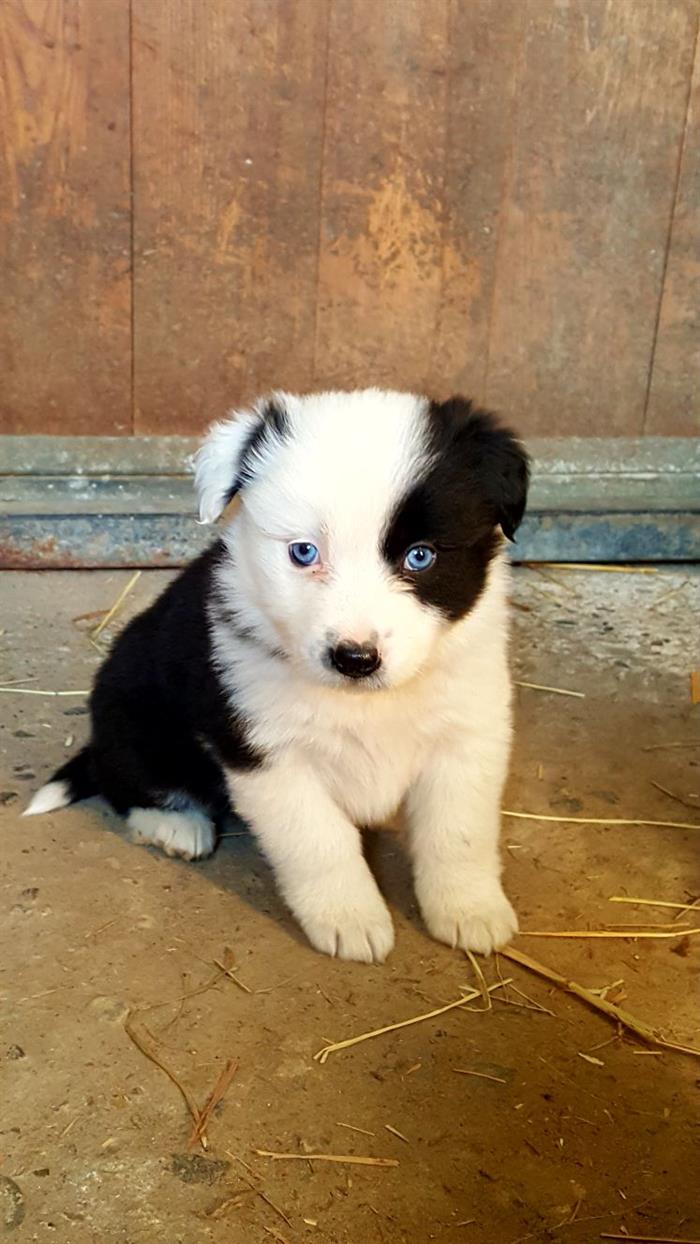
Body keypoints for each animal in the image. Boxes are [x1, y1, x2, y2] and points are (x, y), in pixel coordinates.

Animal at [27, 393, 532, 965]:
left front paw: (470, 910)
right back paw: (177, 823)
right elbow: (319, 841)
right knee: (126, 779)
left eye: (420, 556)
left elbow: (458, 833)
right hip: (132, 711)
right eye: (303, 552)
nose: (355, 658)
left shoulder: (468, 734)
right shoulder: (265, 752)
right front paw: (350, 919)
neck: (363, 700)